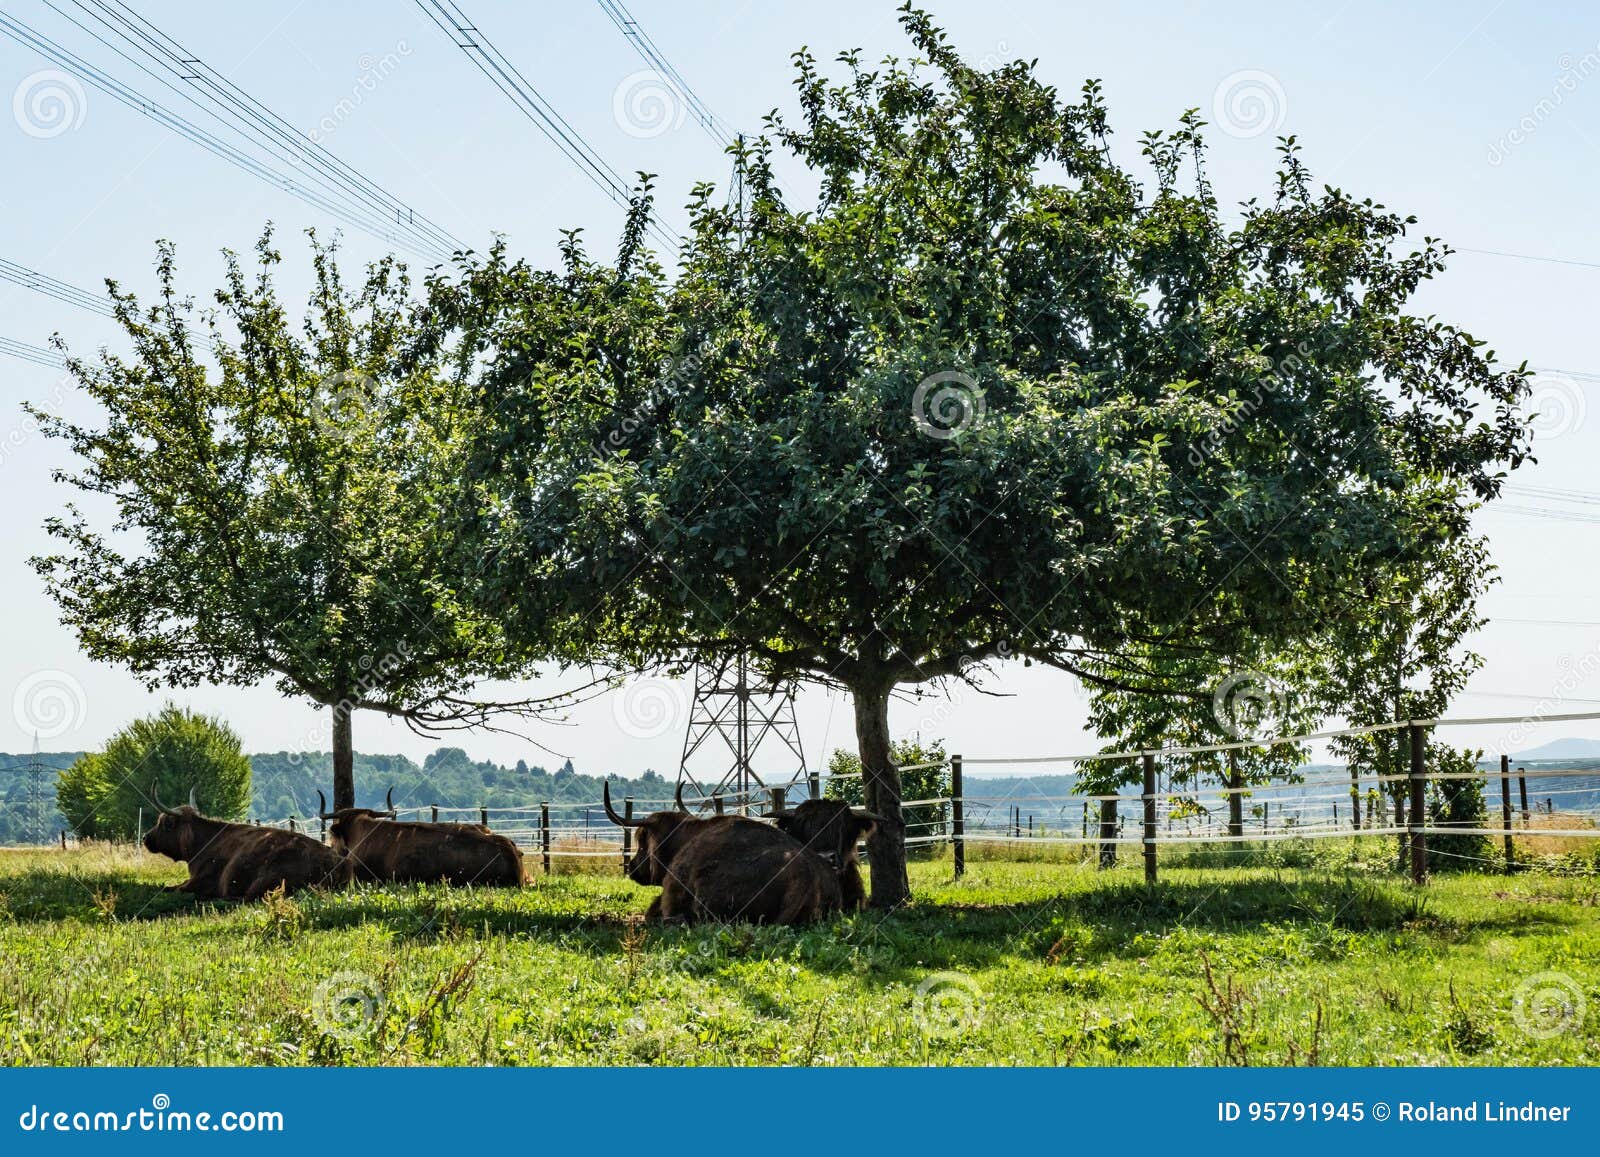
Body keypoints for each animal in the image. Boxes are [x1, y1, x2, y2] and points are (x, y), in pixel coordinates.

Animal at [142, 785, 350, 901]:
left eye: (164, 823)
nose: (145, 837)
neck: (205, 842)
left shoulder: (197, 881)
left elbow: (171, 888)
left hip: (263, 884)